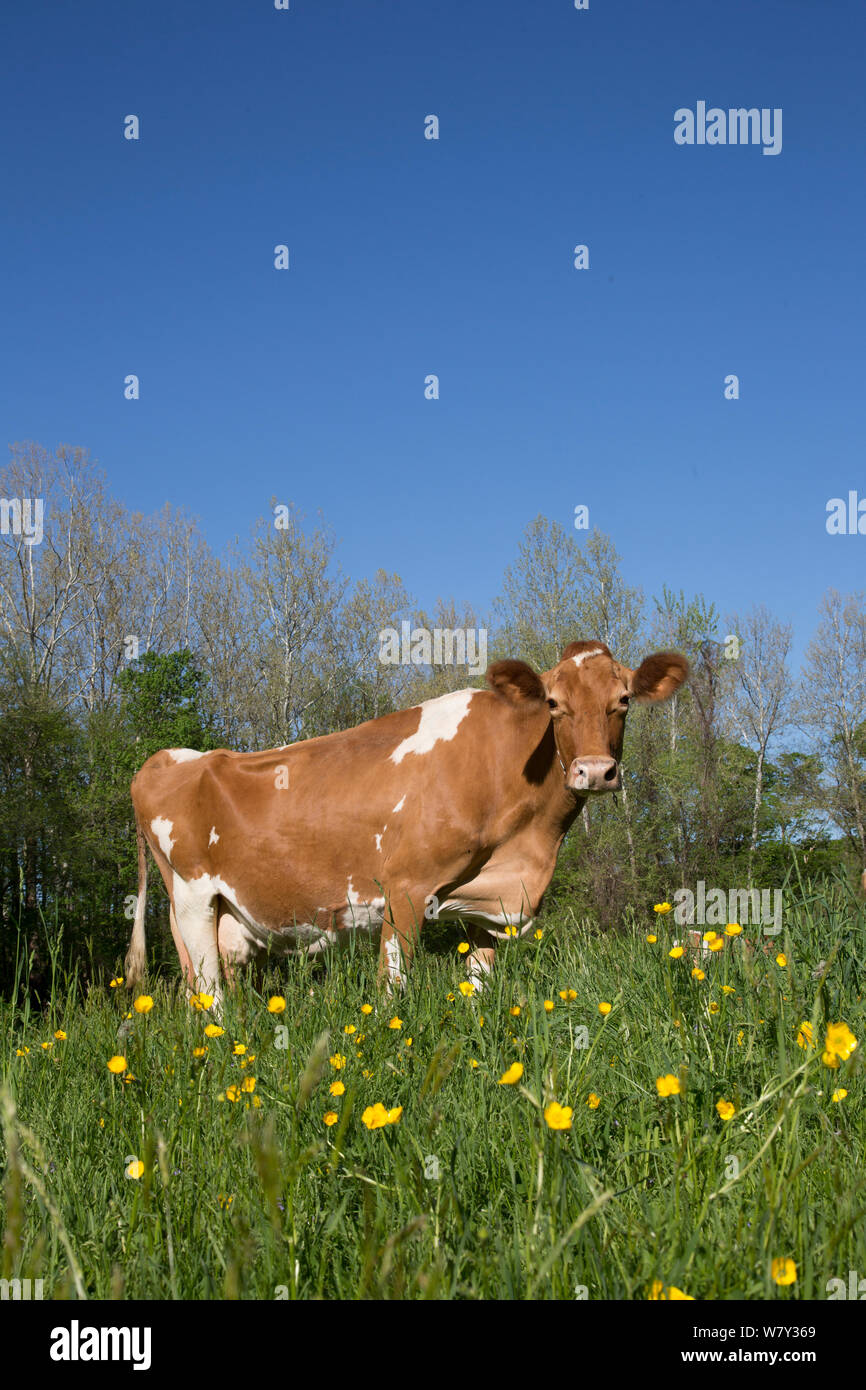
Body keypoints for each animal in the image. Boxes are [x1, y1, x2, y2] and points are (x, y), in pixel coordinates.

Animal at [124, 641, 688, 1005]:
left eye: (624, 700)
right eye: (554, 704)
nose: (595, 771)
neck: (533, 848)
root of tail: (170, 758)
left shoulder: (496, 907)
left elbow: (477, 989)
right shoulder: (405, 887)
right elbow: (393, 991)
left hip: (227, 918)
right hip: (193, 900)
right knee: (210, 999)